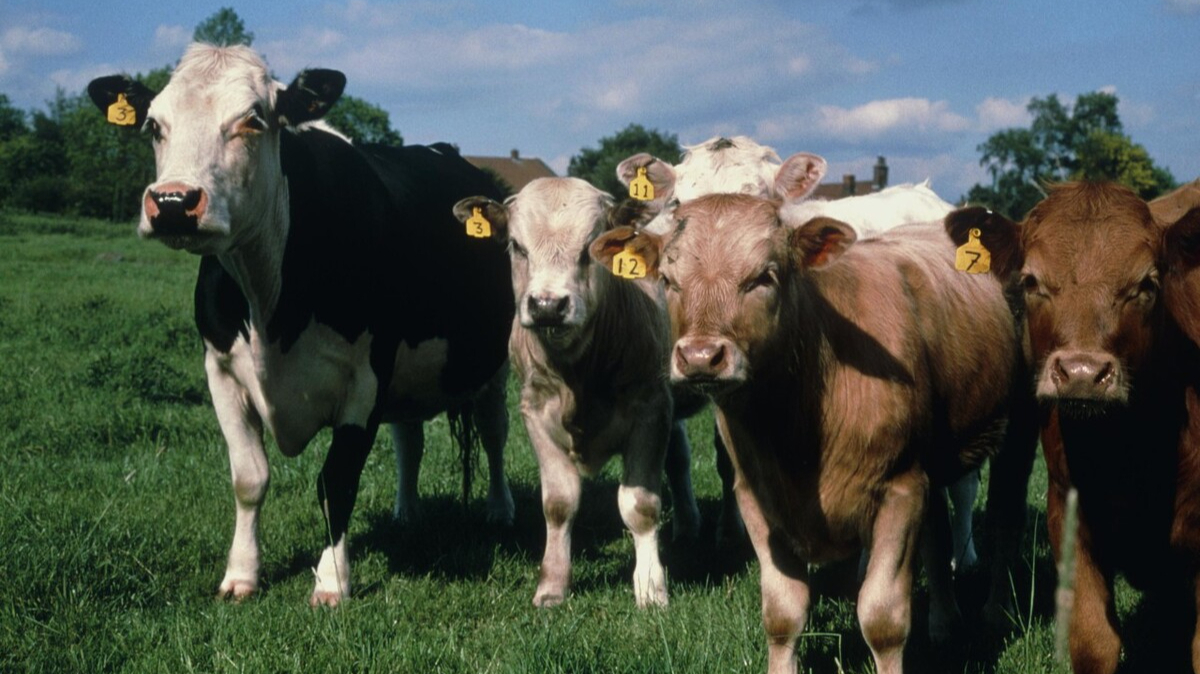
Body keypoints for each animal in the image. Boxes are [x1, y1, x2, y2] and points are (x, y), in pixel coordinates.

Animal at [85, 43, 515, 606]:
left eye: (253, 119)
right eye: (154, 124)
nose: (174, 202)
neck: (271, 306)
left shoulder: (366, 376)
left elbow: (337, 481)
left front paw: (332, 582)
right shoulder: (220, 369)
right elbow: (249, 477)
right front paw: (241, 575)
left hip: (496, 362)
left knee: (494, 432)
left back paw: (499, 510)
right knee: (410, 439)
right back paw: (406, 513)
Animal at [452, 177, 695, 607]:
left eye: (591, 247)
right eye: (517, 246)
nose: (548, 305)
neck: (578, 376)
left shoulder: (651, 408)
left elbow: (640, 506)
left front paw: (651, 587)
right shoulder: (534, 411)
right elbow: (558, 504)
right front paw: (552, 586)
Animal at [590, 183, 1029, 673]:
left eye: (764, 277)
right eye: (668, 280)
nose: (701, 356)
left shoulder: (899, 490)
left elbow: (883, 617)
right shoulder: (758, 497)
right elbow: (783, 612)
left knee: (1005, 516)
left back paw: (994, 611)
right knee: (937, 533)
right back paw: (944, 622)